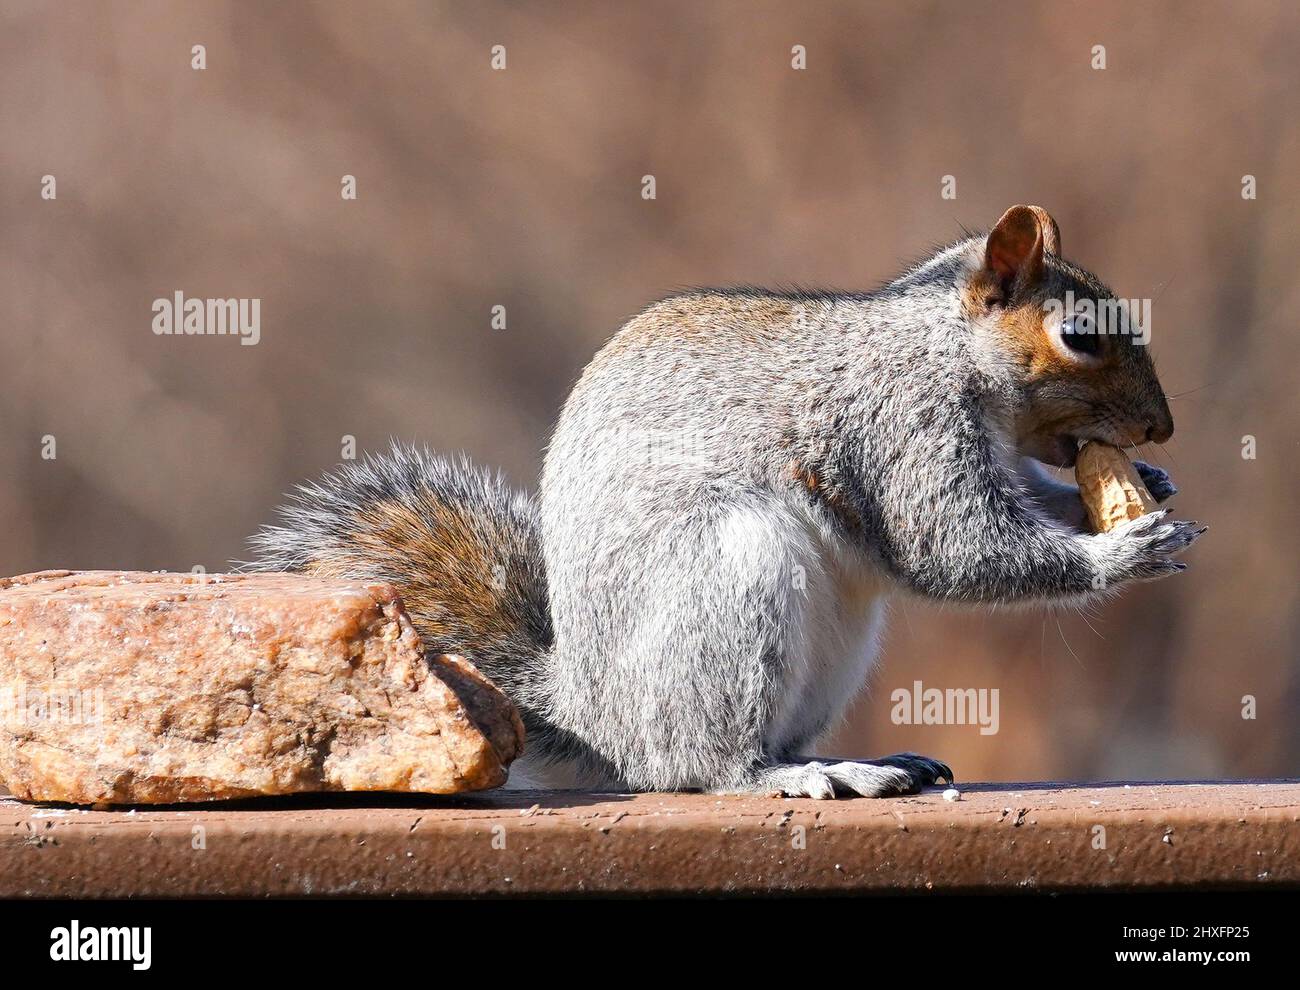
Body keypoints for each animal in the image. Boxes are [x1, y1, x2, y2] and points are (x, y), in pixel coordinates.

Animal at [248, 205, 1203, 799]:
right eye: (1078, 336)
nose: (1160, 430)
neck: (942, 347)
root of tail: (594, 713)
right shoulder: (900, 423)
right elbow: (956, 547)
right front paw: (1123, 552)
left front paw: (1140, 496)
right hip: (731, 583)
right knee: (701, 763)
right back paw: (791, 775)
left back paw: (862, 761)